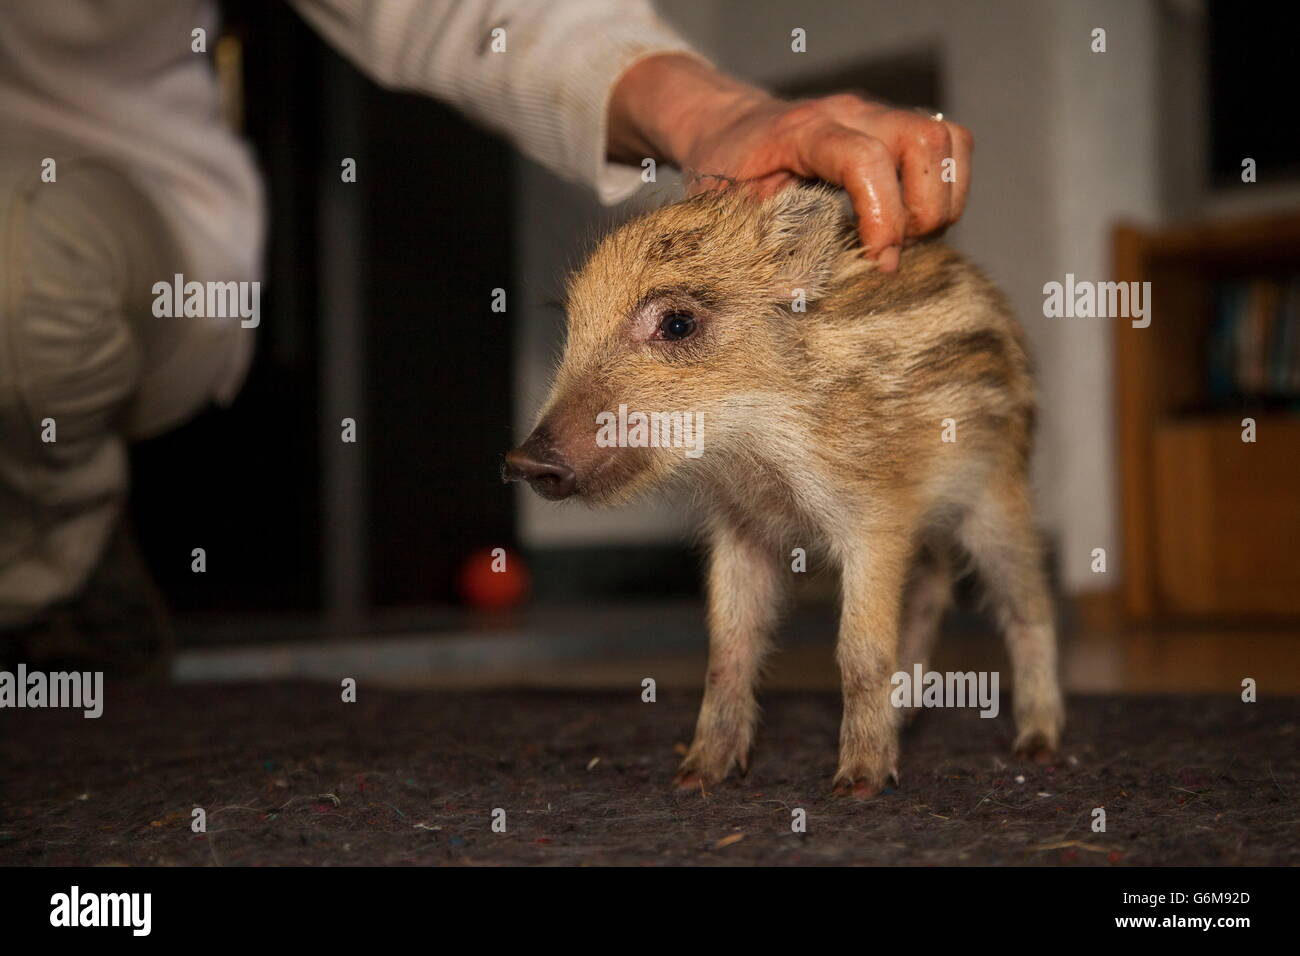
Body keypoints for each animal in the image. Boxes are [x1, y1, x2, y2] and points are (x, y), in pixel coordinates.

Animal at [504, 184, 1064, 797]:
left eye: (676, 324)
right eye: (573, 321)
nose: (522, 462)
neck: (758, 441)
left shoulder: (874, 518)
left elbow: (860, 651)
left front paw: (858, 784)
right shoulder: (742, 527)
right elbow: (728, 647)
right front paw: (696, 776)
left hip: (997, 493)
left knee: (1027, 604)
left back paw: (1038, 743)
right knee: (930, 592)